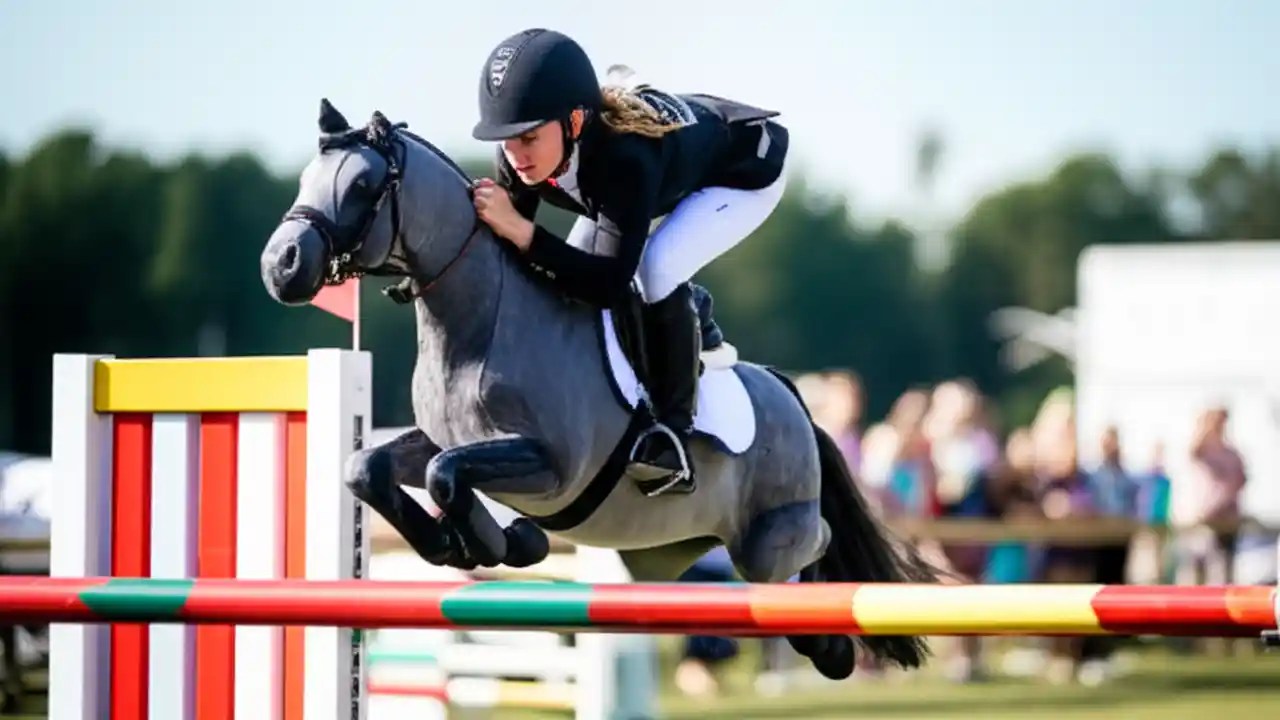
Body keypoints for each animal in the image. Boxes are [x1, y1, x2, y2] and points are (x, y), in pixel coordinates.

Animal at [259, 99, 940, 679]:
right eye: (303, 179)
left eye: (363, 186)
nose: (281, 266)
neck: (481, 324)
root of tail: (786, 393)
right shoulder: (438, 438)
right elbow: (369, 468)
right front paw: (474, 542)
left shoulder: (552, 468)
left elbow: (445, 475)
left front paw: (500, 541)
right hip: (672, 546)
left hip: (768, 537)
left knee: (813, 542)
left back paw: (827, 637)